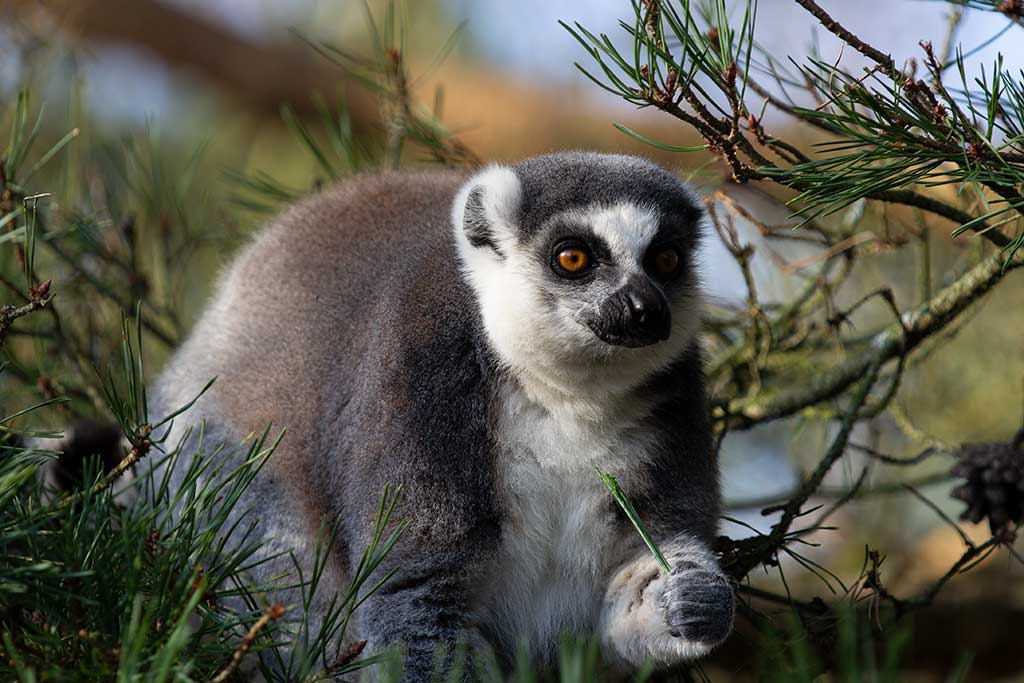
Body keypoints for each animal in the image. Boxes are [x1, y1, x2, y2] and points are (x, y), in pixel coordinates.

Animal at [146, 151, 735, 679]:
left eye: (666, 260)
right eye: (573, 258)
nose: (644, 309)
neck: (567, 399)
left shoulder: (674, 403)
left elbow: (628, 587)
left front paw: (694, 600)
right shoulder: (421, 385)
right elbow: (415, 595)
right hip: (229, 464)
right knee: (279, 560)